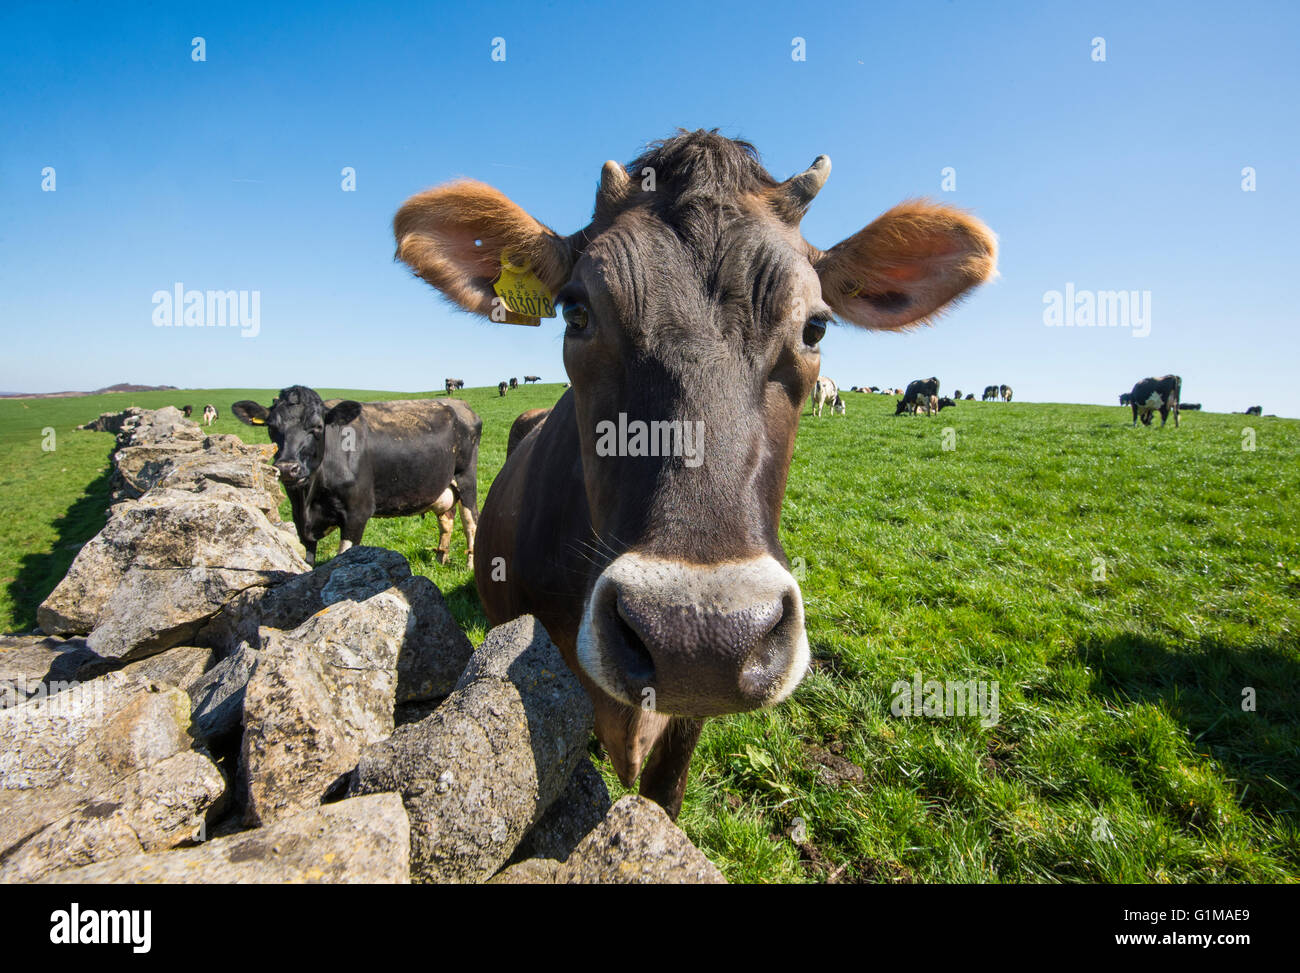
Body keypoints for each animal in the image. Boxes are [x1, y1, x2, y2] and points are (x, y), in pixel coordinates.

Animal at [232, 386, 482, 568]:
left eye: (317, 427)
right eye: (271, 427)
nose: (286, 468)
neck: (310, 498)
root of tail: (460, 404)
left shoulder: (356, 514)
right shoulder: (301, 522)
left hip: (466, 477)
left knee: (470, 521)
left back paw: (470, 564)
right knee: (446, 519)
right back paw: (441, 559)